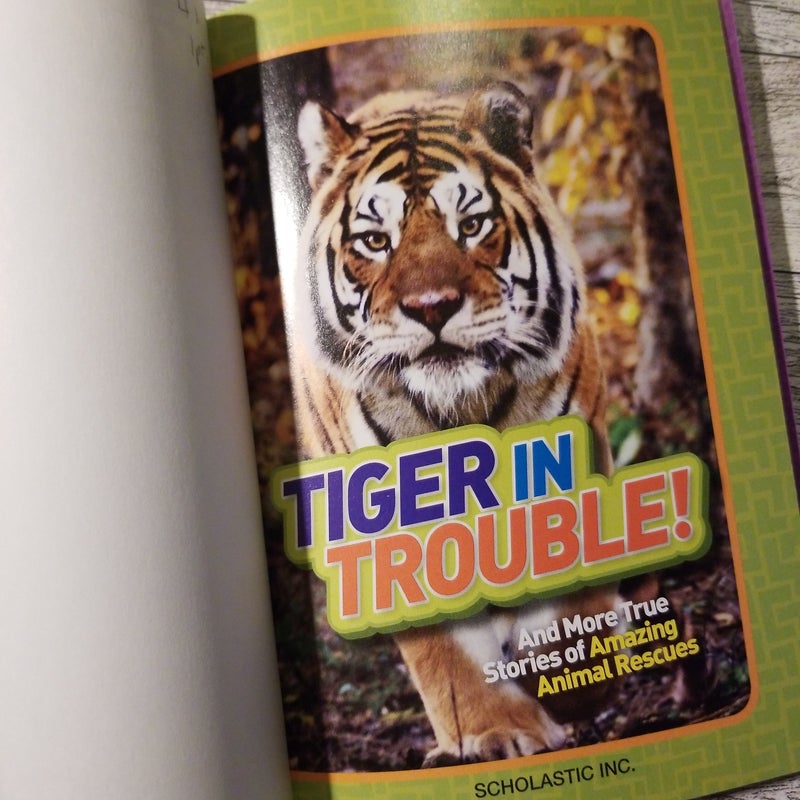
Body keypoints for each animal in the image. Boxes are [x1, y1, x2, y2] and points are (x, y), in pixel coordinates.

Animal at [284, 82, 622, 764]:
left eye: (471, 226)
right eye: (376, 241)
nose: (431, 308)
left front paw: (574, 669)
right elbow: (443, 645)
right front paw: (496, 734)